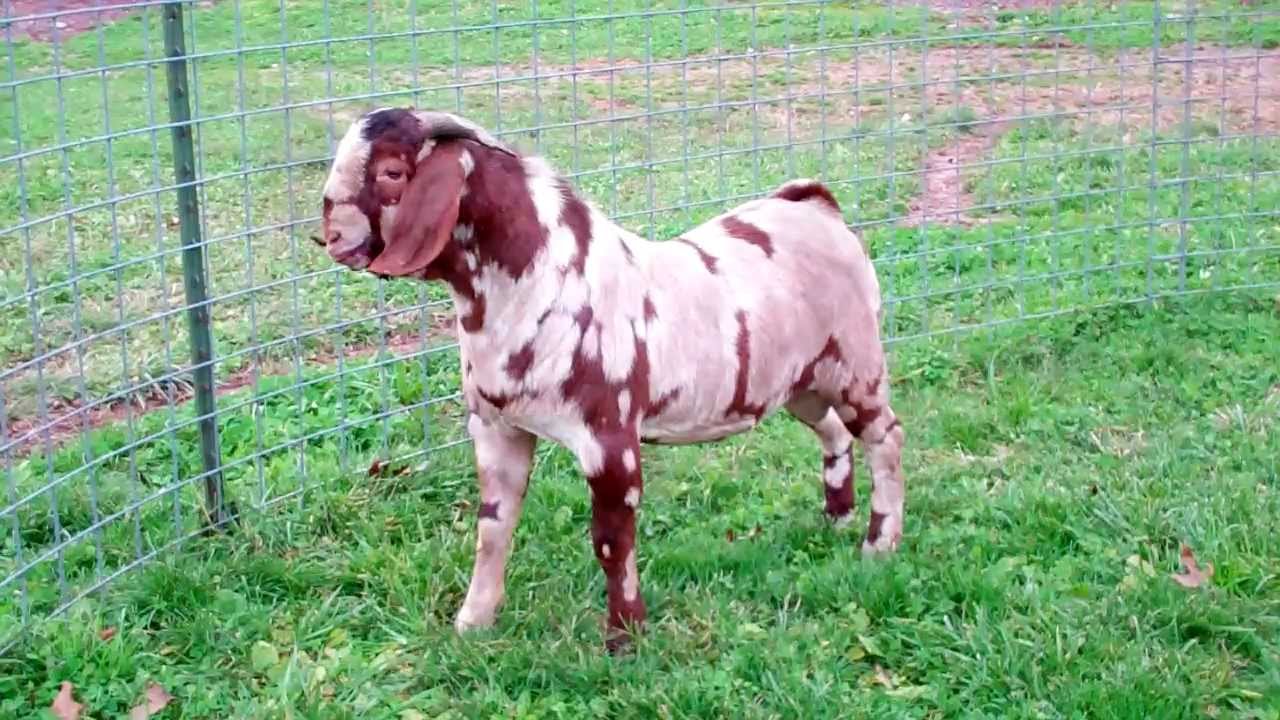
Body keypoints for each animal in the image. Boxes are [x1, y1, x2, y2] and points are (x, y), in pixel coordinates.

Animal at [319, 108, 906, 651]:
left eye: (392, 172)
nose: (329, 235)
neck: (546, 282)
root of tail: (815, 206)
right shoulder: (495, 425)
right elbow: (493, 527)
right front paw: (472, 623)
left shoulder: (609, 435)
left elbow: (611, 540)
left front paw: (625, 637)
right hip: (800, 380)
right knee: (833, 430)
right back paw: (836, 517)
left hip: (856, 362)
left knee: (886, 436)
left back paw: (879, 545)